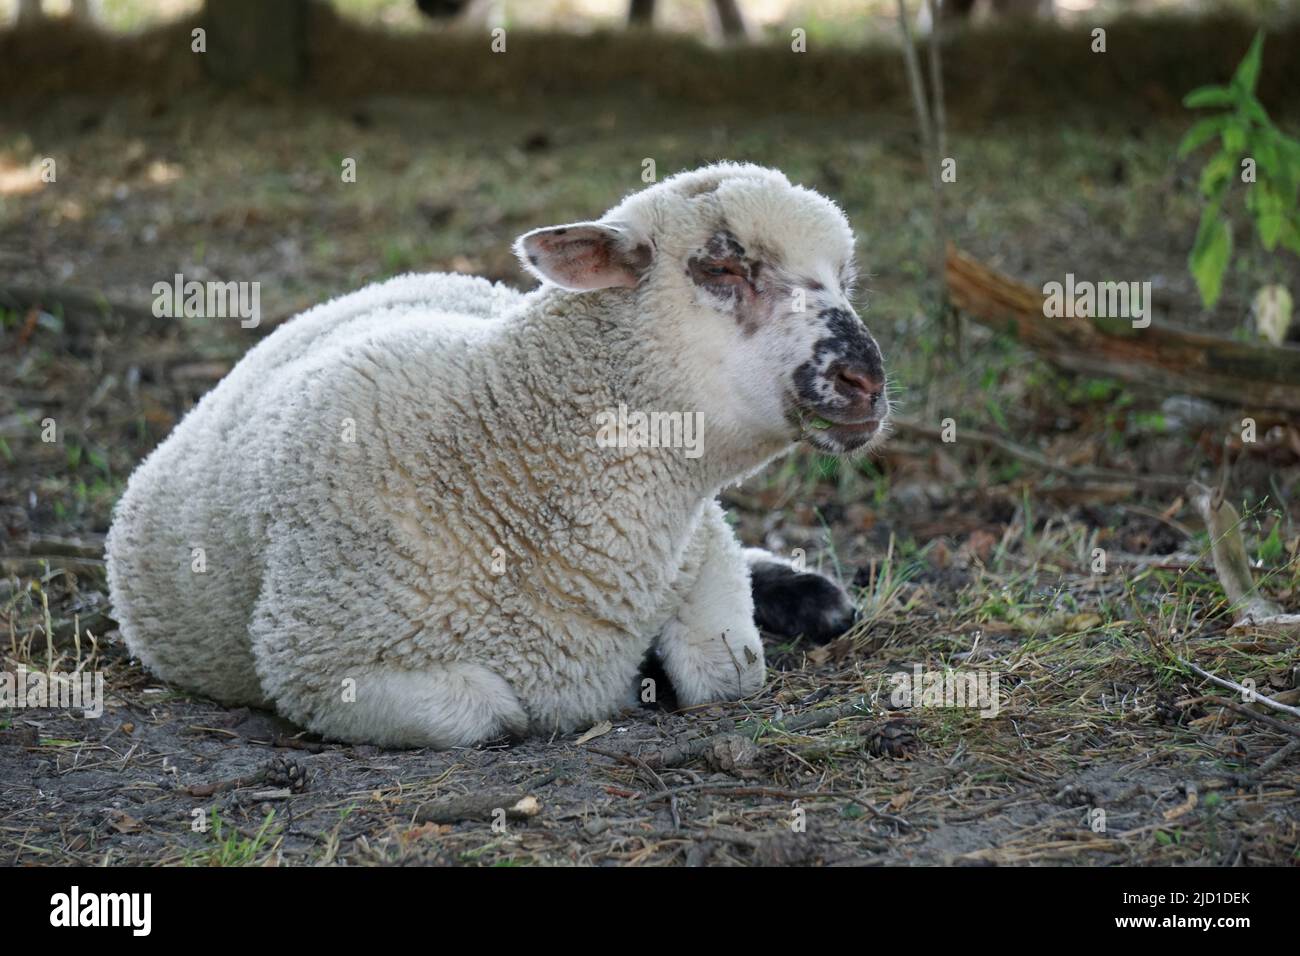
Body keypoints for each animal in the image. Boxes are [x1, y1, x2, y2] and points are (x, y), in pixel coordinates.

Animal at [105, 163, 890, 749]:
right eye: (722, 267)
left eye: (844, 279)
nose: (868, 380)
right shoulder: (323, 663)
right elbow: (495, 712)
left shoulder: (702, 552)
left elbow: (729, 669)